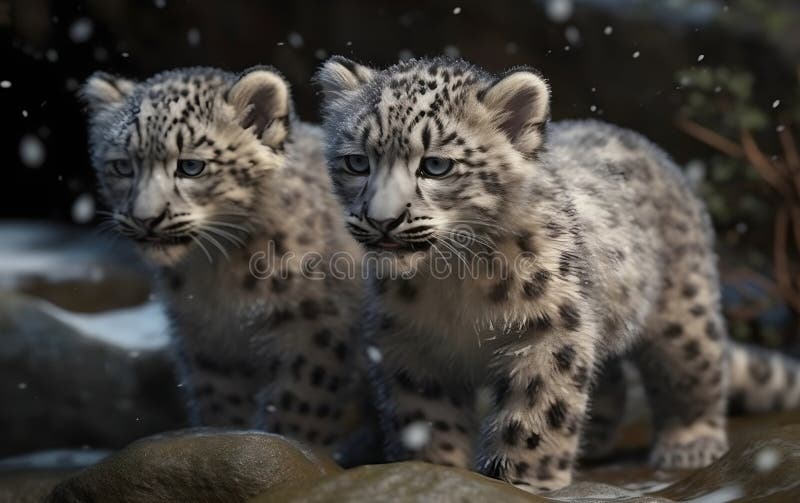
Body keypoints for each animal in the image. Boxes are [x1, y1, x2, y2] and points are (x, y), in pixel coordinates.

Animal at [81, 66, 371, 459]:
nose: (146, 218)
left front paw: (296, 447)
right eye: (122, 166)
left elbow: (300, 406)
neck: (217, 272)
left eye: (191, 166)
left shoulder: (318, 330)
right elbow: (221, 407)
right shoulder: (207, 345)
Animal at [314, 55, 800, 492]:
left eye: (436, 165)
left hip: (683, 307)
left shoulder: (547, 325)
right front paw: (433, 468)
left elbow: (538, 411)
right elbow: (426, 416)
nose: (382, 220)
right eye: (357, 162)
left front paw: (524, 479)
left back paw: (690, 442)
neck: (451, 280)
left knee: (696, 366)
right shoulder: (408, 342)